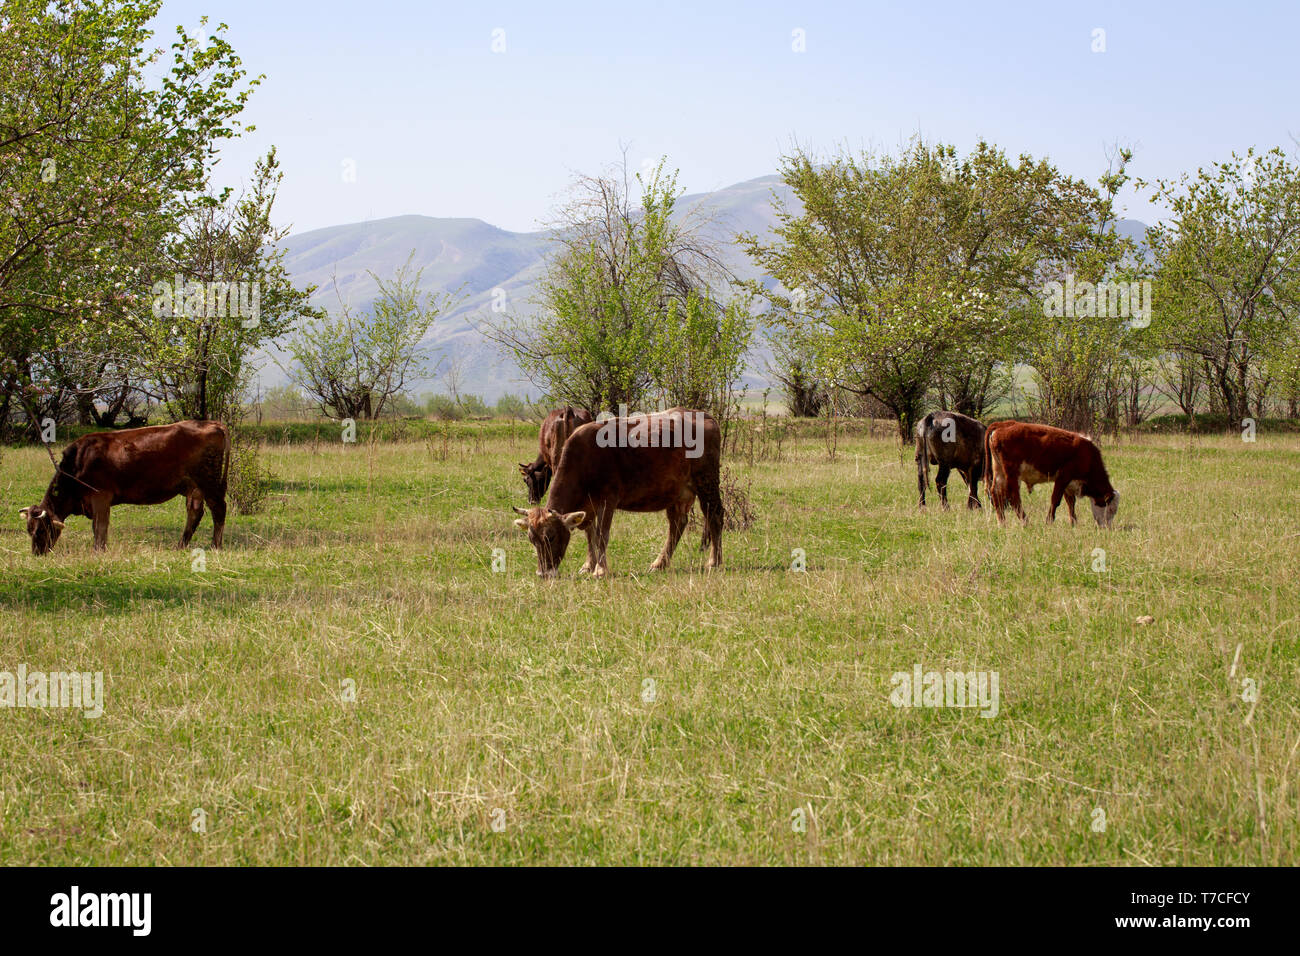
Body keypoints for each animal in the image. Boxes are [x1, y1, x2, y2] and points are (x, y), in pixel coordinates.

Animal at [19, 420, 230, 555]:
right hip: (194, 487)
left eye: (40, 531)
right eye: (29, 530)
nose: (36, 554)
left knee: (218, 509)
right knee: (195, 513)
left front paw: (98, 551)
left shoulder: (101, 497)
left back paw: (215, 546)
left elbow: (99, 526)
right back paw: (181, 545)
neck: (79, 463)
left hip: (208, 481)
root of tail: (211, 423)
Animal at [511, 408, 723, 578]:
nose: (542, 573)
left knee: (714, 516)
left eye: (551, 536)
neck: (584, 458)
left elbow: (602, 534)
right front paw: (588, 565)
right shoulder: (588, 508)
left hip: (707, 482)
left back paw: (714, 562)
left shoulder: (608, 500)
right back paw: (659, 563)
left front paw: (600, 570)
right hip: (679, 492)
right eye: (532, 539)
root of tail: (703, 415)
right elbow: (590, 534)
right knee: (677, 524)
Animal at [983, 420, 1119, 527]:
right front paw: (1049, 521)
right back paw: (1026, 522)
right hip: (1012, 474)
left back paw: (1002, 523)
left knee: (996, 493)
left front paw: (1073, 522)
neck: (1087, 455)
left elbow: (1070, 502)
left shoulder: (1069, 483)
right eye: (1111, 509)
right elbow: (1055, 500)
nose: (1107, 527)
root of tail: (1003, 424)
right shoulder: (1063, 476)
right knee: (1013, 497)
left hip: (999, 471)